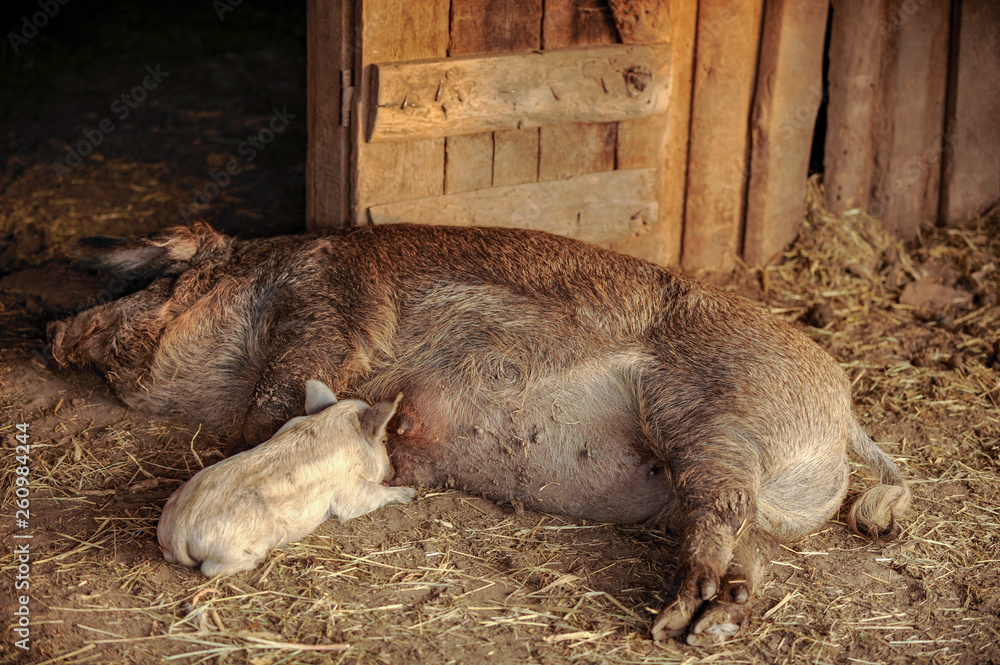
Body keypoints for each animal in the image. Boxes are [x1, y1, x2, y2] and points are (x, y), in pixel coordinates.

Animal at [157, 380, 416, 577]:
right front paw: (411, 493)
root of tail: (179, 529)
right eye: (384, 441)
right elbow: (366, 498)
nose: (394, 473)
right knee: (210, 568)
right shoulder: (348, 490)